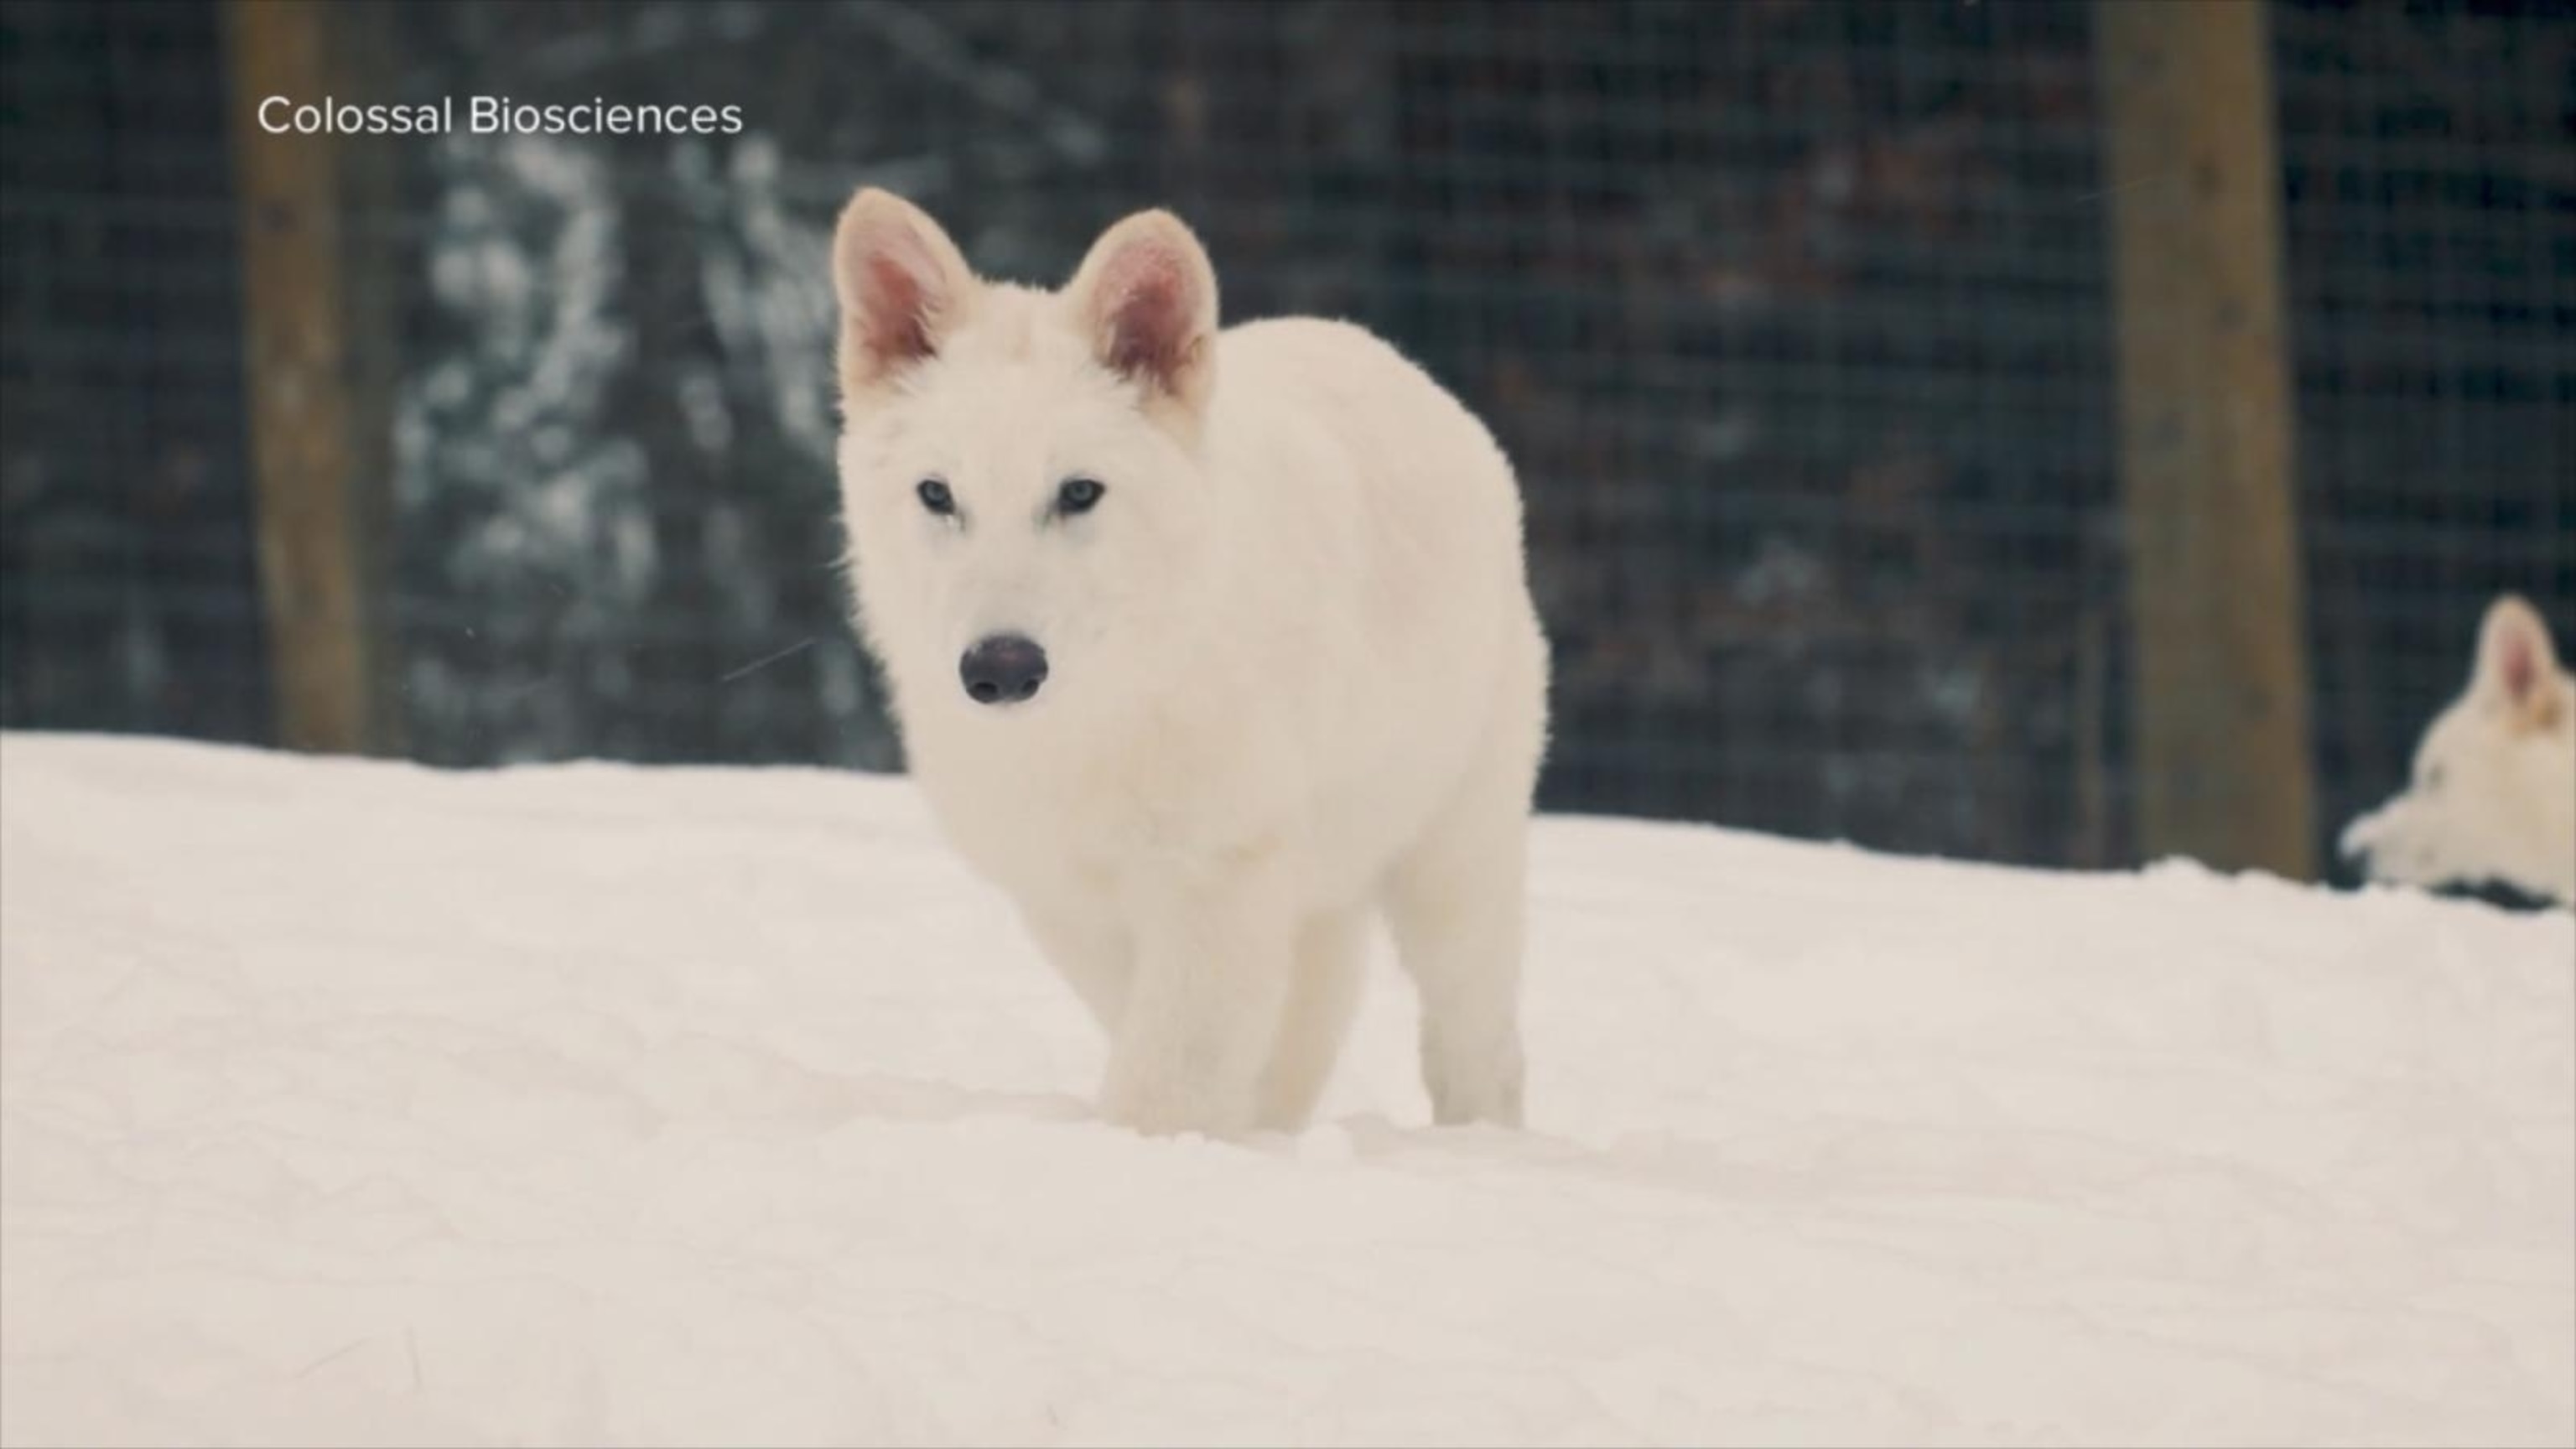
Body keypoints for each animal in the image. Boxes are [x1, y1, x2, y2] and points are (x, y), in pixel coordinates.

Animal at [828, 191, 1551, 1136]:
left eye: (1079, 493)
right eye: (937, 496)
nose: (1002, 668)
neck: (1105, 718)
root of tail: (1387, 357)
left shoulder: (1216, 878)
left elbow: (1168, 1077)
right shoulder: (1069, 899)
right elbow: (1169, 1042)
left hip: (1454, 858)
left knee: (1477, 1046)